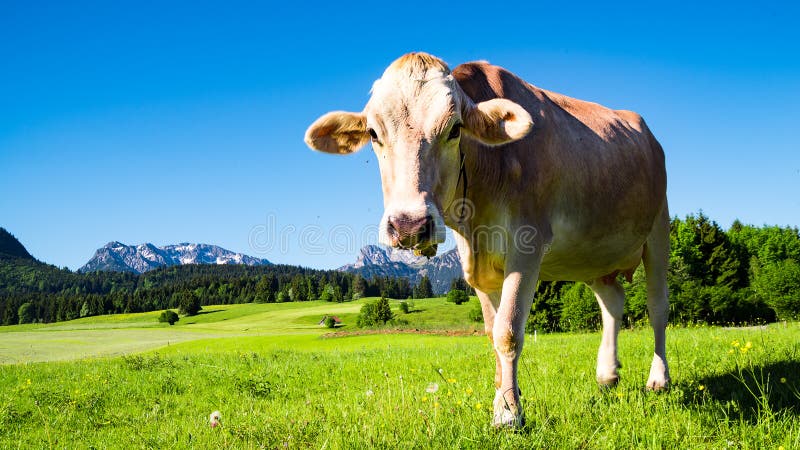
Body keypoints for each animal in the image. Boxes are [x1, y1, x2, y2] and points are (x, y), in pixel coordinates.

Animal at [305, 52, 670, 428]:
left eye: (454, 129)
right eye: (374, 133)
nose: (409, 225)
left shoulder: (527, 247)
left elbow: (508, 332)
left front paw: (509, 414)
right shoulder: (477, 266)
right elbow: (492, 332)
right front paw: (503, 398)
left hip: (659, 228)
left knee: (658, 306)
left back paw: (659, 379)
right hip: (593, 255)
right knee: (612, 301)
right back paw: (608, 375)